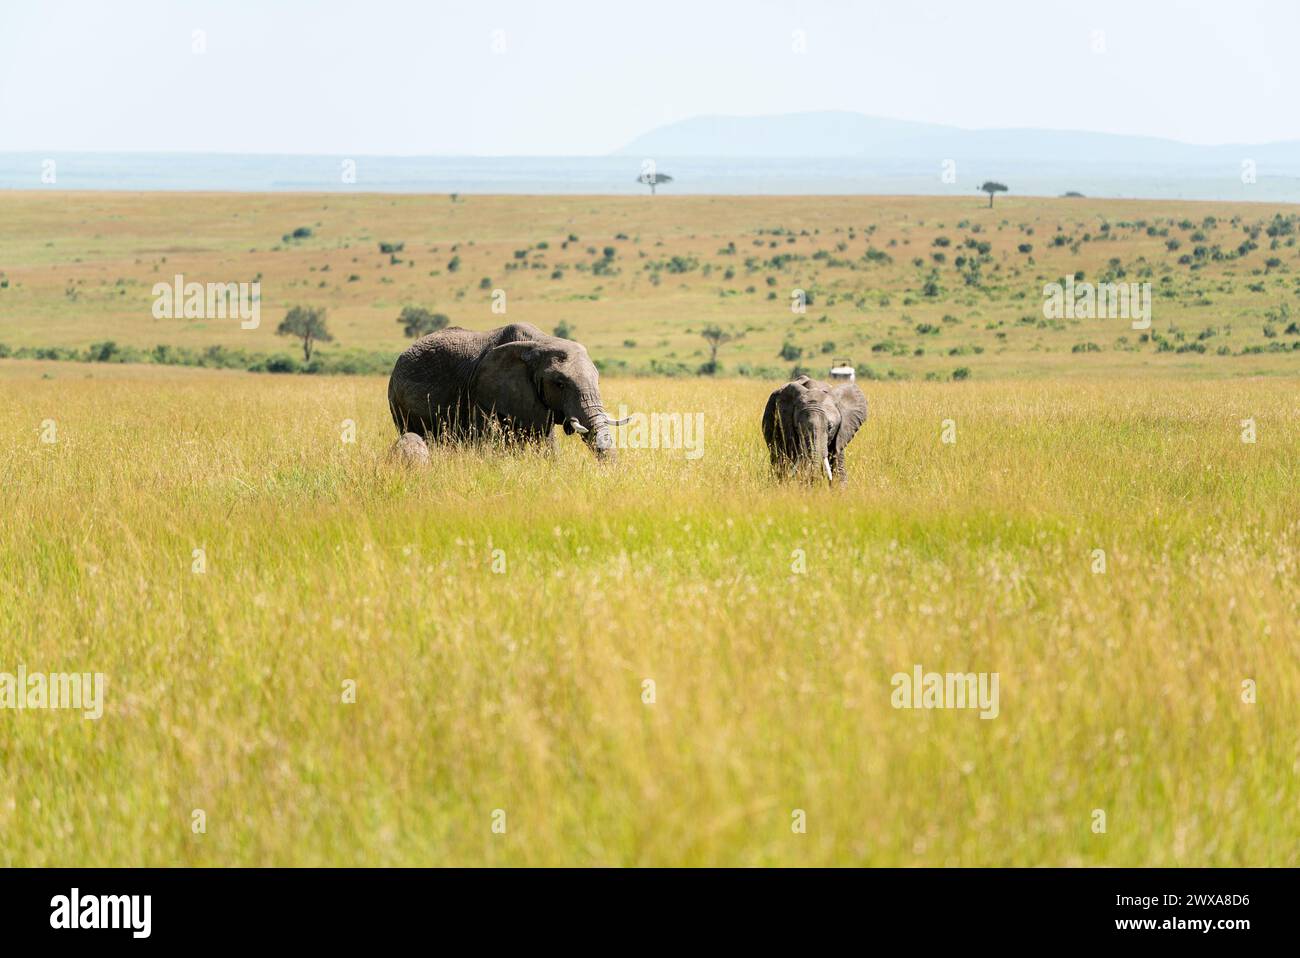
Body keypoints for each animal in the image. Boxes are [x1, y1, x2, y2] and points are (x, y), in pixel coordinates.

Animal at [387, 322, 627, 457]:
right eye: (560, 384)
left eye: (598, 381)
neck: (540, 343)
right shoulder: (480, 393)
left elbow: (544, 439)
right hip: (398, 403)